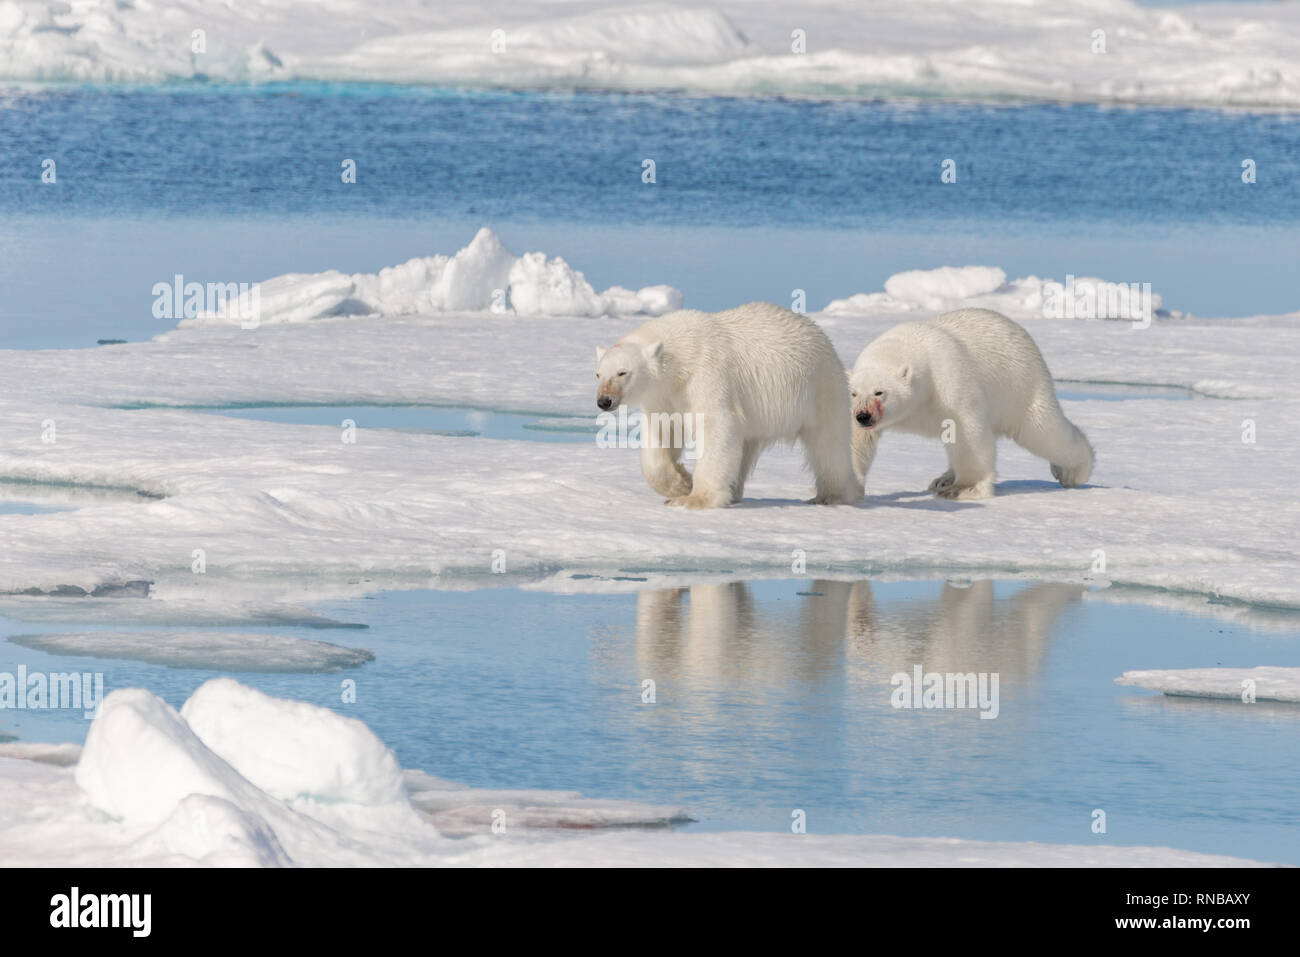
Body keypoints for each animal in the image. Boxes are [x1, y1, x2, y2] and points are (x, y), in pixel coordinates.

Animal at [595, 302, 862, 509]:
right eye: (598, 374)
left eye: (622, 372)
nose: (604, 401)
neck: (681, 354)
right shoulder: (664, 395)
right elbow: (662, 433)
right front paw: (681, 483)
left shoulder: (707, 372)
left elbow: (716, 426)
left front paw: (694, 498)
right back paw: (734, 492)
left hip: (821, 388)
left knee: (828, 444)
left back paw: (832, 495)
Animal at [847, 308, 1094, 500]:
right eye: (854, 393)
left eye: (879, 392)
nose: (863, 416)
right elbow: (855, 439)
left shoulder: (948, 379)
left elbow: (966, 430)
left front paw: (963, 489)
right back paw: (943, 478)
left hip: (1021, 387)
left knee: (1044, 432)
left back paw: (1074, 471)